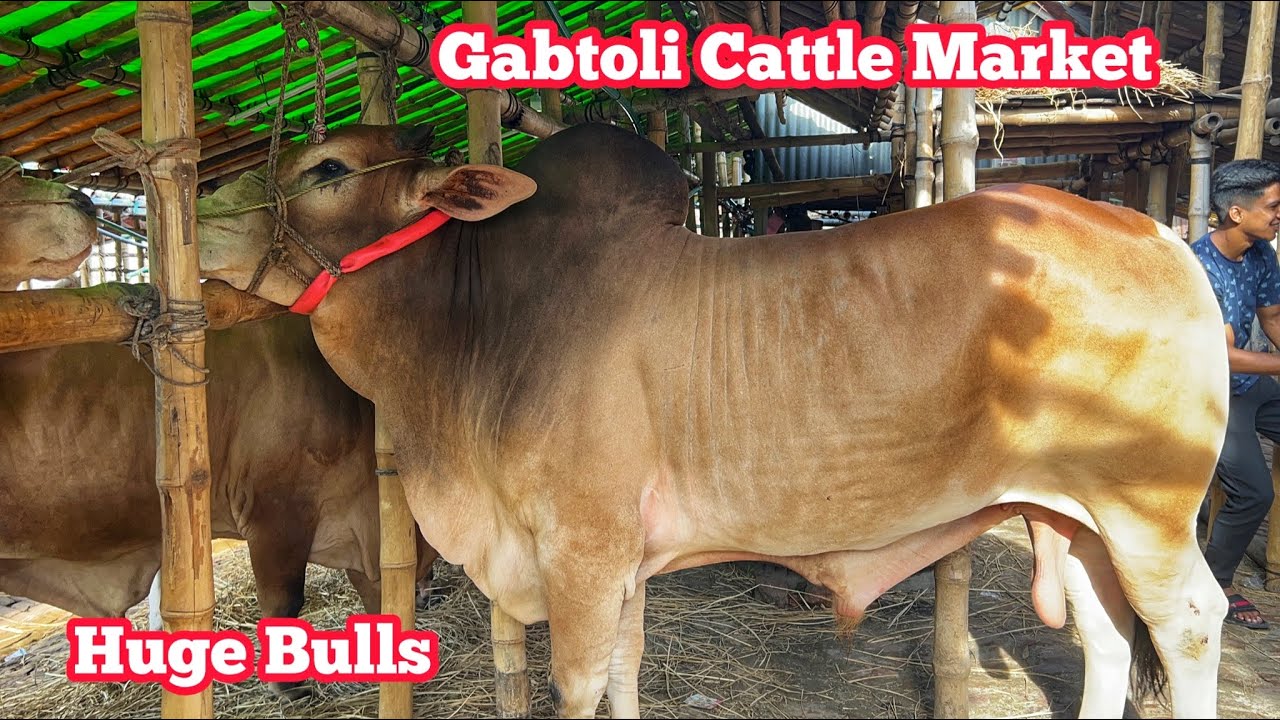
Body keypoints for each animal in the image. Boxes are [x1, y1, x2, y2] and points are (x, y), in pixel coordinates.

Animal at [195, 122, 1230, 719]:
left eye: (327, 168)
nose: (196, 211)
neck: (480, 322)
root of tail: (1157, 232)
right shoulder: (623, 559)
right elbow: (625, 669)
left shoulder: (581, 551)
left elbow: (579, 684)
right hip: (1072, 516)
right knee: (1107, 637)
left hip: (1146, 509)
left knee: (1187, 626)